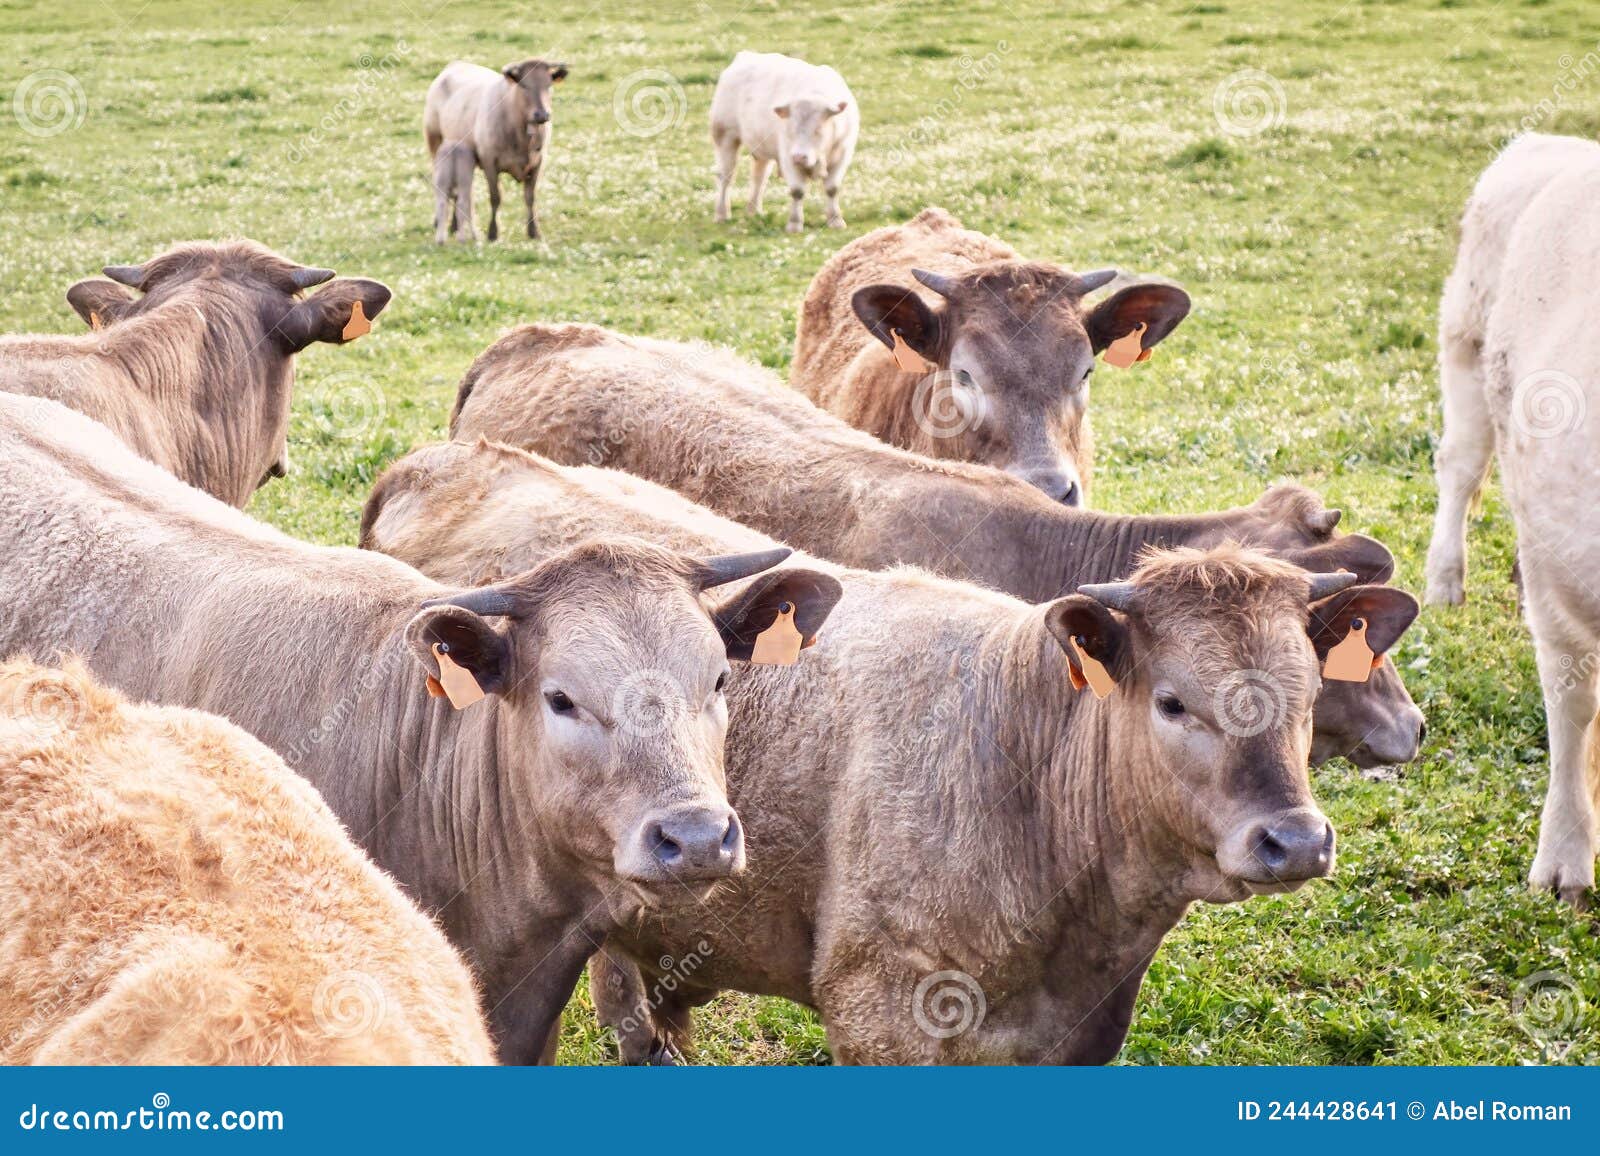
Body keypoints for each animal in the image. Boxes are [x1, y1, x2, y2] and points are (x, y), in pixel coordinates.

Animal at [424, 58, 568, 242]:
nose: (542, 114)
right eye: (524, 85)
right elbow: (495, 197)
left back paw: (455, 225)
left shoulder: (539, 162)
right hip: (436, 146)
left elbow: (530, 197)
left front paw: (534, 231)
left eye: (548, 85)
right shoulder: (489, 162)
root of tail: (455, 64)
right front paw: (493, 232)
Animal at [710, 51, 858, 233]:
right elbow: (797, 191)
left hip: (761, 148)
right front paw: (794, 223)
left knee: (759, 177)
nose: (799, 157)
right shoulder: (788, 157)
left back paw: (754, 211)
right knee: (726, 177)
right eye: (790, 128)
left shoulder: (842, 155)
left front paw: (835, 220)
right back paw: (722, 213)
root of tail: (746, 55)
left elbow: (832, 189)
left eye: (818, 129)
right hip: (725, 137)